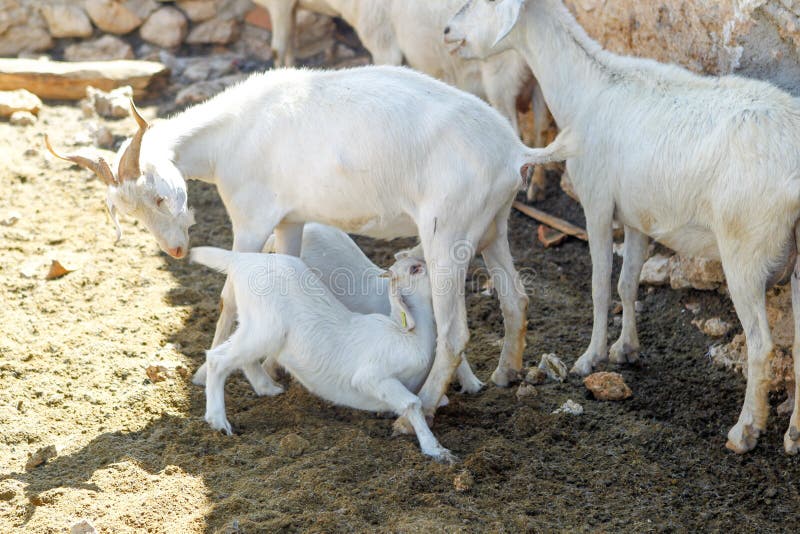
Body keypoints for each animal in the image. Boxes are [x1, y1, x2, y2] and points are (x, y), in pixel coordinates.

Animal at [45, 66, 576, 424]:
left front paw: (218, 374)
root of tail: (514, 150)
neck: (235, 132)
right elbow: (283, 269)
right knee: (516, 299)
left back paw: (417, 413)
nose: (175, 251)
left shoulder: (252, 219)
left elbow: (229, 294)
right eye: (131, 213)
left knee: (454, 333)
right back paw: (505, 375)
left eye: (159, 195)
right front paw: (271, 366)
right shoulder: (290, 221)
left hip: (447, 237)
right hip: (493, 228)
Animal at [191, 248, 457, 463]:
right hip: (265, 329)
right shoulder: (372, 377)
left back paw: (268, 388)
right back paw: (219, 422)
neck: (409, 335)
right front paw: (437, 450)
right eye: (415, 269)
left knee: (239, 357)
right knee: (217, 359)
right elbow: (413, 403)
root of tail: (241, 259)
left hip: (256, 326)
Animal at [446, 0, 800, 454]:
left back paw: (745, 430)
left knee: (761, 344)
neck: (588, 89)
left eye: (488, 3)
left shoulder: (596, 204)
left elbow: (599, 286)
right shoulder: (636, 218)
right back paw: (793, 434)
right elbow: (627, 283)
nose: (447, 31)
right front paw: (625, 349)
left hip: (746, 249)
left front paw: (589, 358)